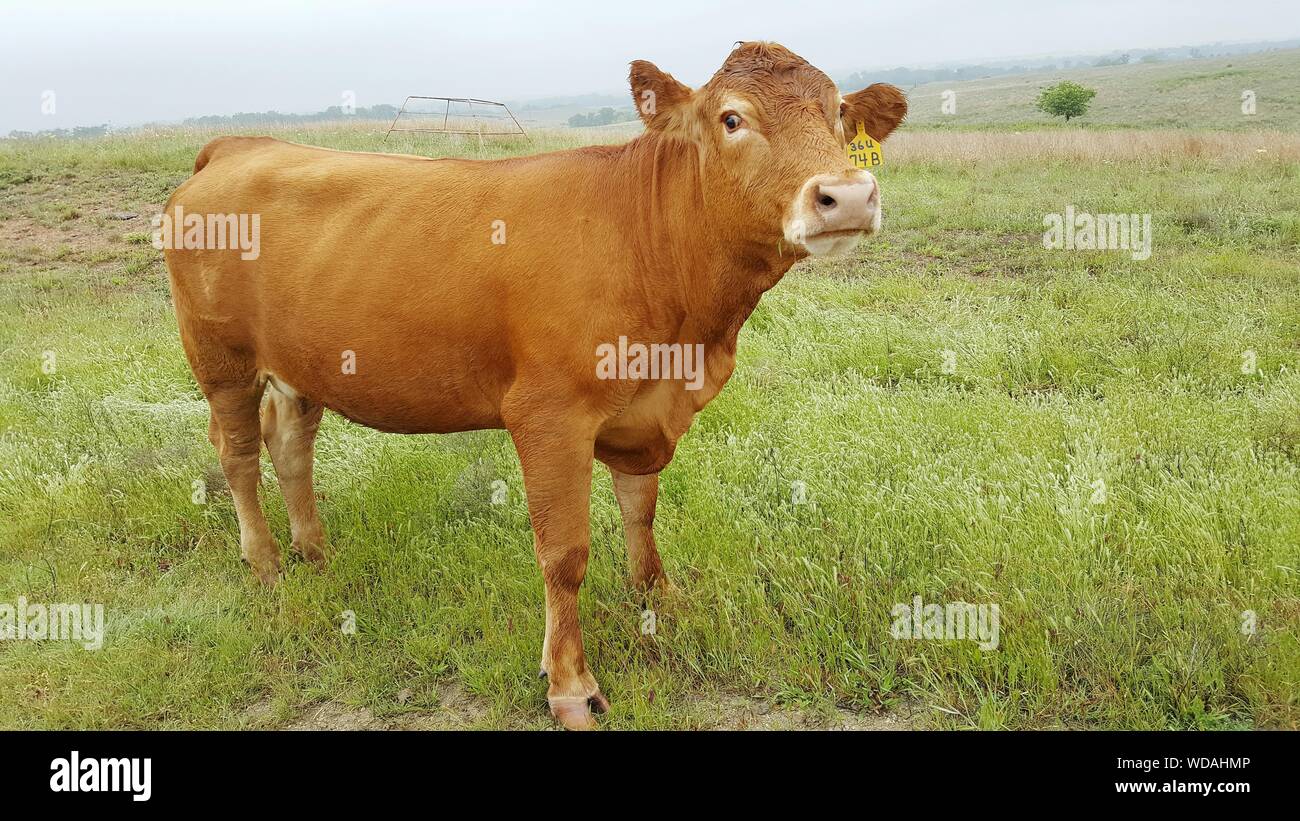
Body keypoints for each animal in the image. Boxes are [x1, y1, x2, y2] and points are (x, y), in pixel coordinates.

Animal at [163, 41, 907, 729]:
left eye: (839, 113)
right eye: (732, 118)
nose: (848, 195)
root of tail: (238, 146)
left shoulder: (642, 408)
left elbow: (640, 509)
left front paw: (658, 596)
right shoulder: (549, 415)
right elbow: (564, 553)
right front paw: (569, 682)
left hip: (301, 366)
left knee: (291, 445)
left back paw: (314, 553)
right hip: (221, 361)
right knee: (237, 452)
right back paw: (266, 565)